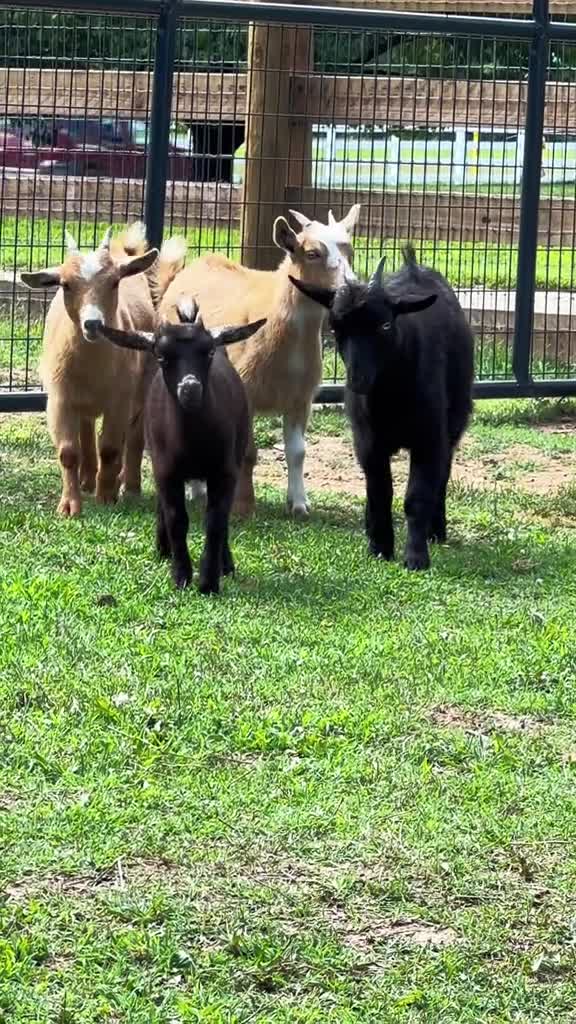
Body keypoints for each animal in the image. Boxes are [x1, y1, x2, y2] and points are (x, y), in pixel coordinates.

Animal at [21, 223, 186, 516]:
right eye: (65, 284)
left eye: (114, 282)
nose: (93, 324)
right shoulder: (59, 399)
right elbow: (68, 452)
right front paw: (69, 506)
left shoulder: (119, 400)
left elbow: (109, 447)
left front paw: (106, 497)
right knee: (87, 429)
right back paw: (87, 479)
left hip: (143, 387)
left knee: (134, 437)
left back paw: (128, 486)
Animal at [85, 302, 266, 594]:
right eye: (161, 356)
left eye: (209, 352)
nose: (189, 388)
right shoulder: (166, 470)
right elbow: (176, 518)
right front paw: (181, 575)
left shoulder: (225, 471)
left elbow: (216, 521)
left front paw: (209, 581)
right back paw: (163, 549)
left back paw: (225, 564)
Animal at [159, 204, 361, 518]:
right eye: (311, 253)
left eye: (349, 248)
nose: (352, 287)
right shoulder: (248, 391)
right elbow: (248, 452)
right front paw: (244, 507)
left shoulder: (301, 399)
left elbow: (297, 452)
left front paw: (299, 504)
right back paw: (197, 491)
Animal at [290, 245, 474, 569]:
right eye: (335, 327)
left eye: (385, 324)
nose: (358, 380)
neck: (390, 397)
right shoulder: (368, 441)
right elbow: (380, 491)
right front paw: (379, 545)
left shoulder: (429, 438)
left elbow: (417, 495)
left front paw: (416, 556)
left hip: (454, 422)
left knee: (444, 473)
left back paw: (436, 530)